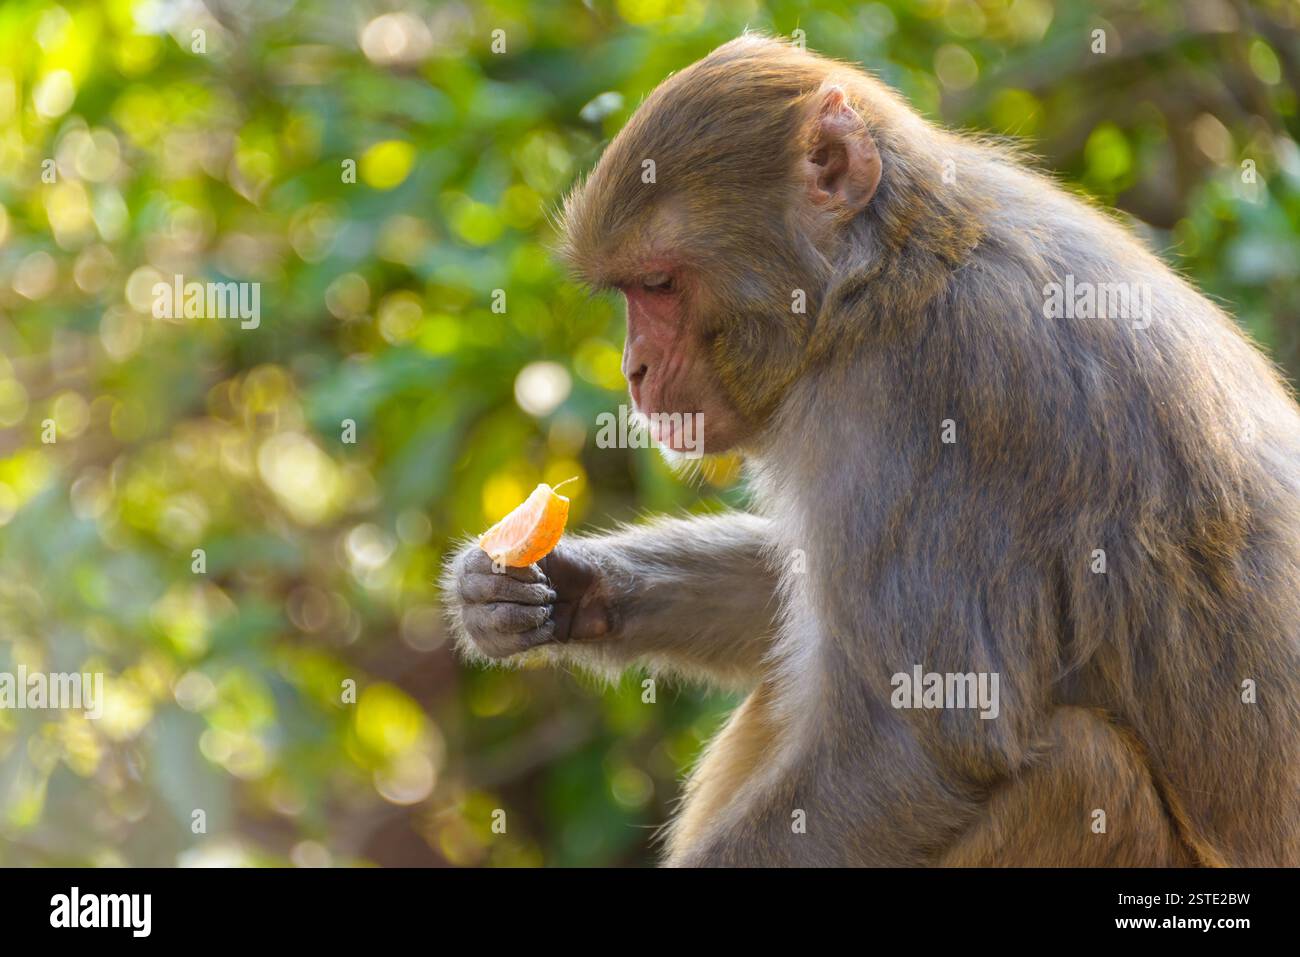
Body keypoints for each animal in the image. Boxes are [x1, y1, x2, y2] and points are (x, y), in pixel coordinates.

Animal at [443, 36, 1300, 867]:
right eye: (630, 292)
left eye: (657, 284)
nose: (634, 369)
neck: (887, 280)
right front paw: (540, 586)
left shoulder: (942, 391)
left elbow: (925, 744)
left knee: (1079, 765)